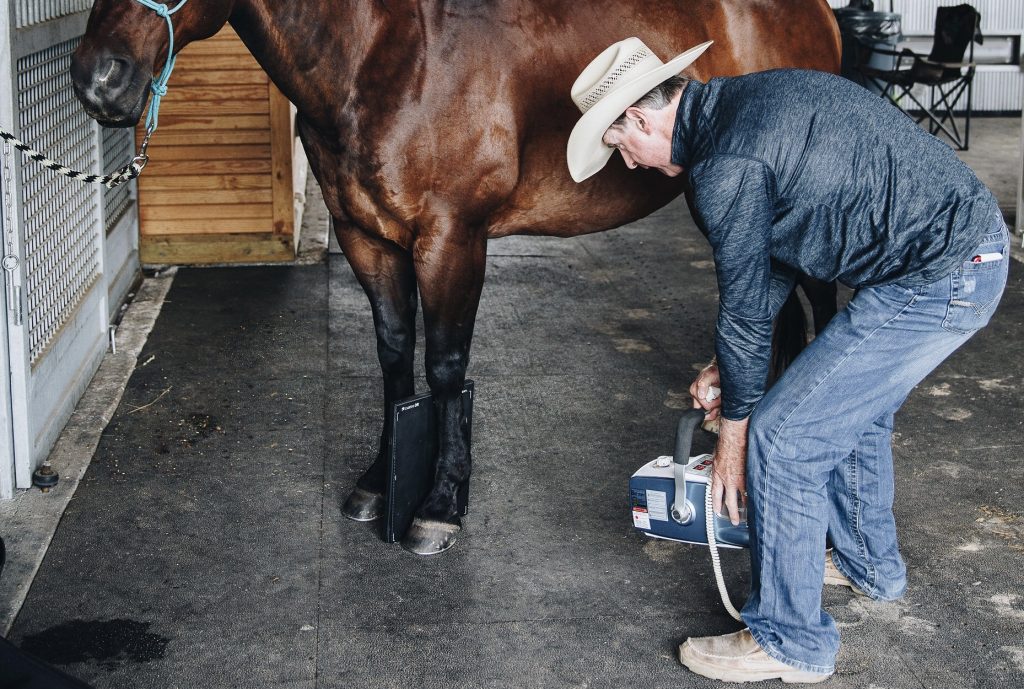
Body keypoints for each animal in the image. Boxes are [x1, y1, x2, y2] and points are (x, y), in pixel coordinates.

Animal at [71, 0, 842, 555]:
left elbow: (444, 367)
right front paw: (379, 481)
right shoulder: (365, 238)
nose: (96, 78)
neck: (383, 58)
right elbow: (393, 356)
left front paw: (440, 504)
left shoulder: (451, 241)